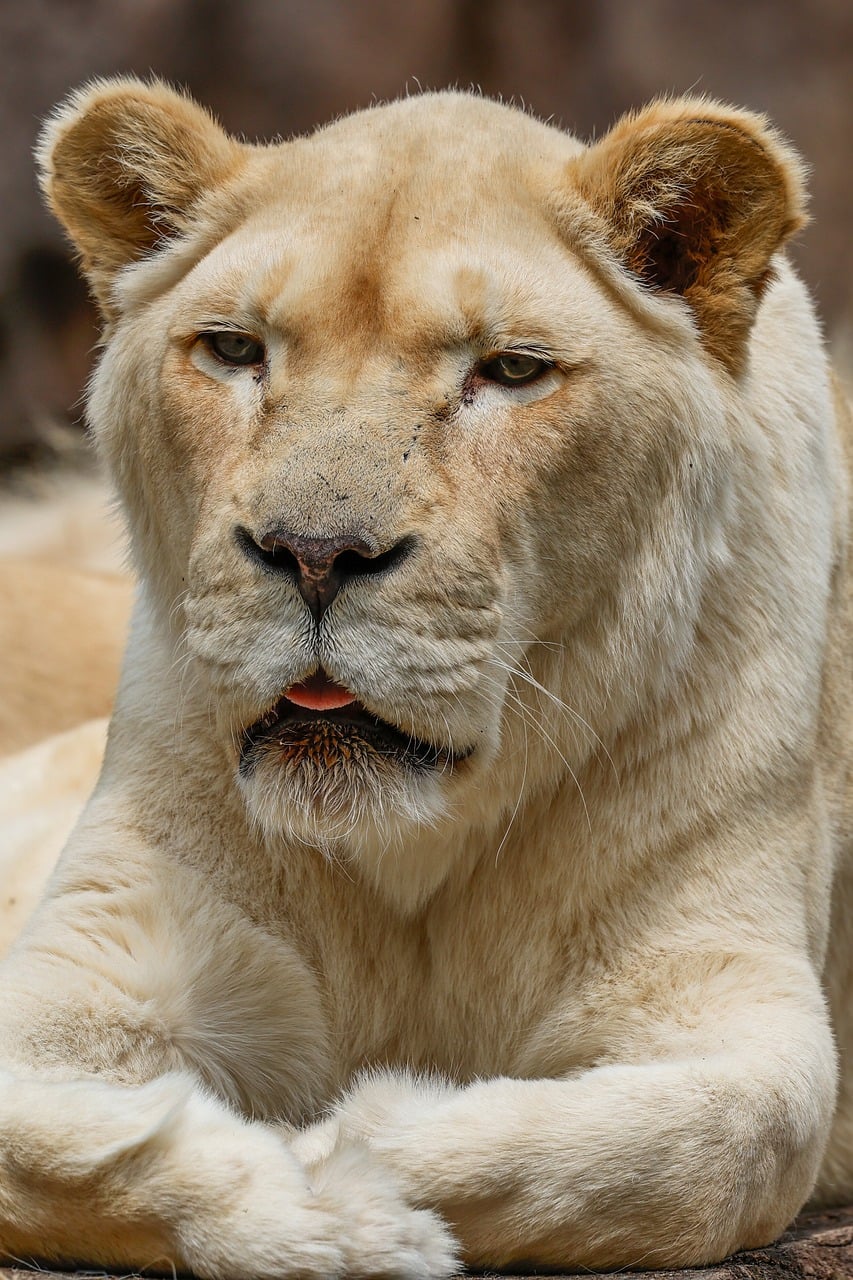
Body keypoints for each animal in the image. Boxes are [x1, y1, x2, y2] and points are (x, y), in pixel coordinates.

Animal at [0, 77, 850, 1278]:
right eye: (234, 349)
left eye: (510, 370)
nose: (313, 553)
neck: (415, 846)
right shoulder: (89, 964)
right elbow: (56, 1147)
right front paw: (309, 1211)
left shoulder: (733, 996)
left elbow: (689, 1149)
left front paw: (351, 1151)